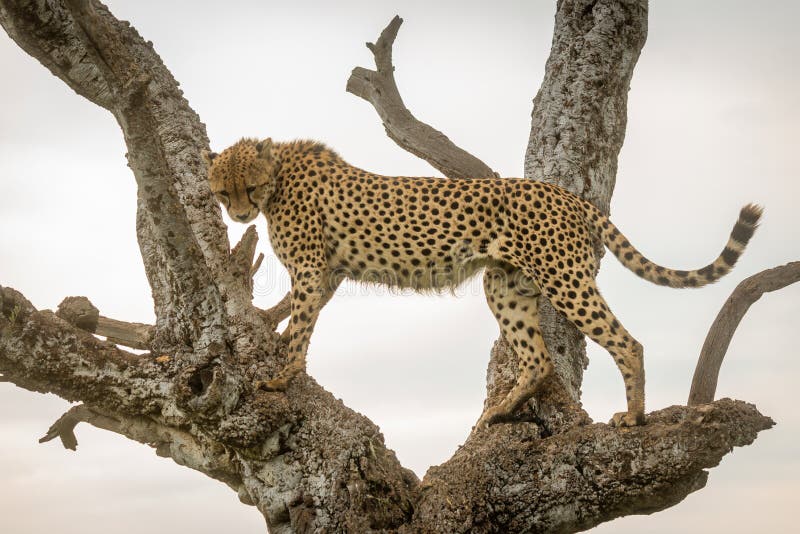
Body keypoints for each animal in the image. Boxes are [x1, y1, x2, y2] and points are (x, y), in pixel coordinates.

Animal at [203, 137, 762, 429]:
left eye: (249, 186)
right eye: (223, 191)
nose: (239, 215)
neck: (278, 173)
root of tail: (565, 193)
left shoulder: (311, 268)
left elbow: (301, 324)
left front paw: (280, 376)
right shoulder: (330, 272)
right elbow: (305, 316)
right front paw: (281, 354)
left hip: (564, 278)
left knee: (627, 342)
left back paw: (634, 416)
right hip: (505, 287)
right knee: (537, 358)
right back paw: (502, 410)